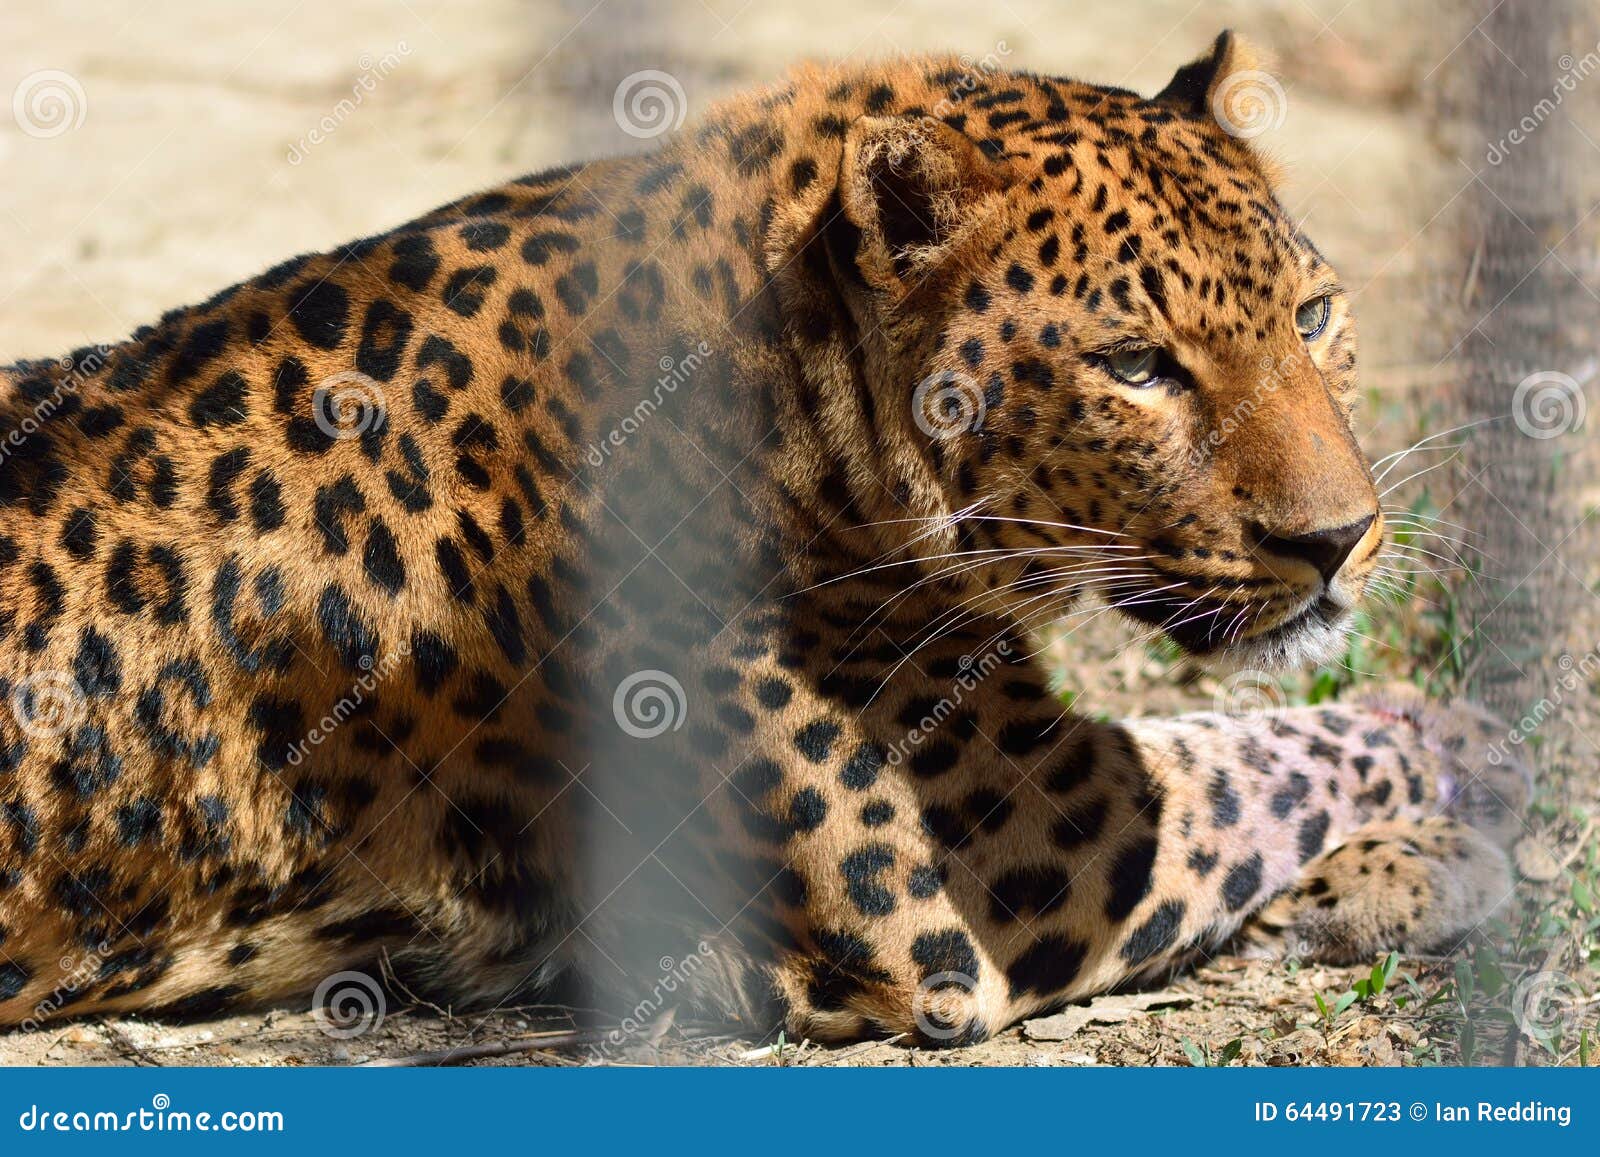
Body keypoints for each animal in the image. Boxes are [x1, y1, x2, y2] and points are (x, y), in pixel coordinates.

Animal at [0, 31, 1532, 1048]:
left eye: (1314, 314)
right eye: (1137, 365)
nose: (1339, 539)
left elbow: (1258, 746)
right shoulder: (1015, 850)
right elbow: (1263, 756)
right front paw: (1469, 764)